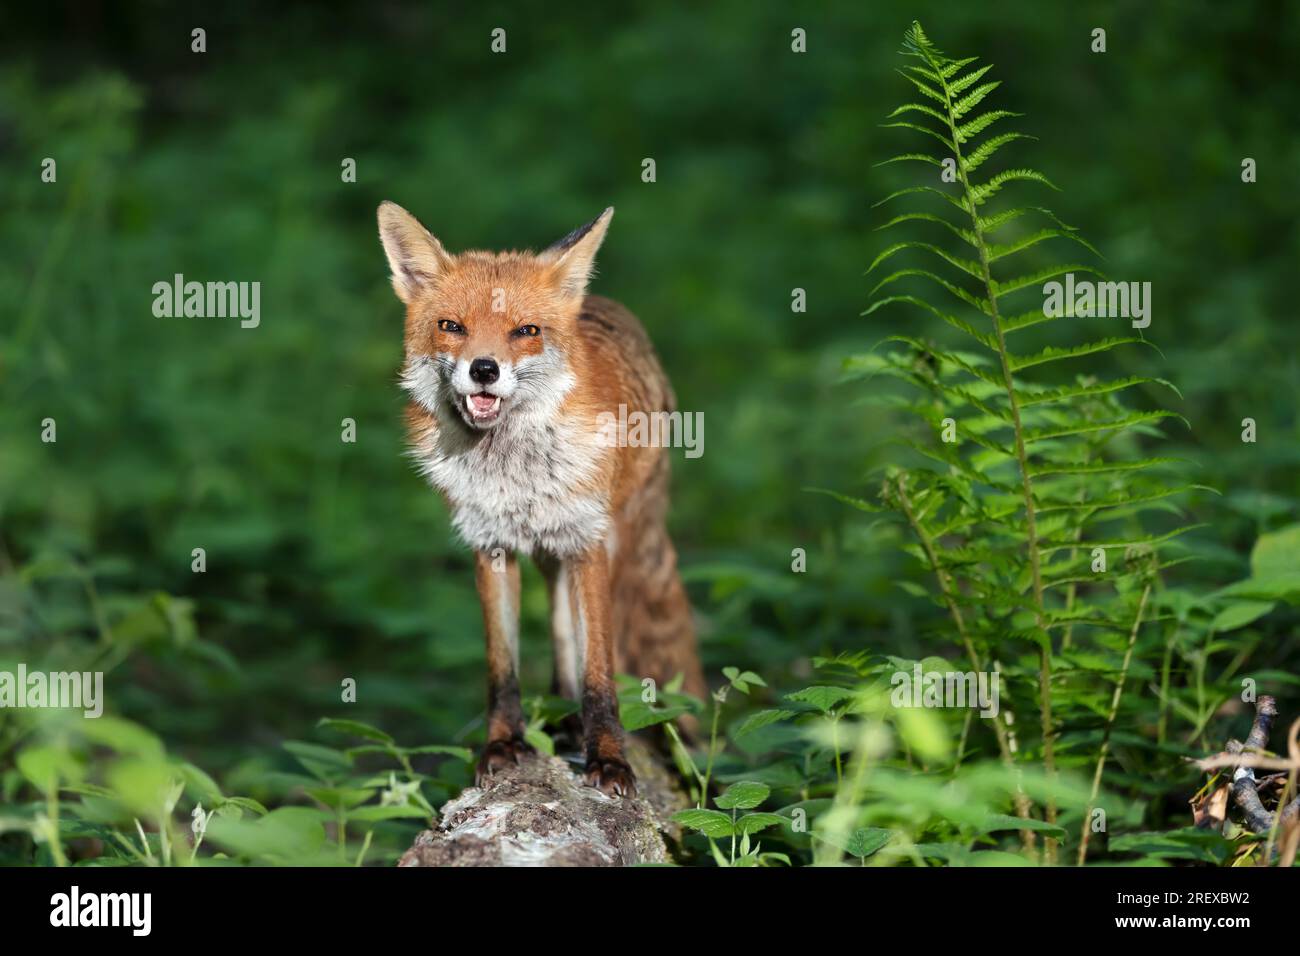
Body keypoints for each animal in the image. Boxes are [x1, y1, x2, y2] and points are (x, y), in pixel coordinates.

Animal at [377, 202, 705, 797]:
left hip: (614, 543)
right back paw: (563, 719)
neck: (513, 467)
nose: (484, 369)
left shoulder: (588, 541)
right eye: (451, 327)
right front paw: (503, 746)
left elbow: (599, 672)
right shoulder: (489, 544)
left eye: (525, 331)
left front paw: (609, 758)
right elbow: (502, 668)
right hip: (553, 553)